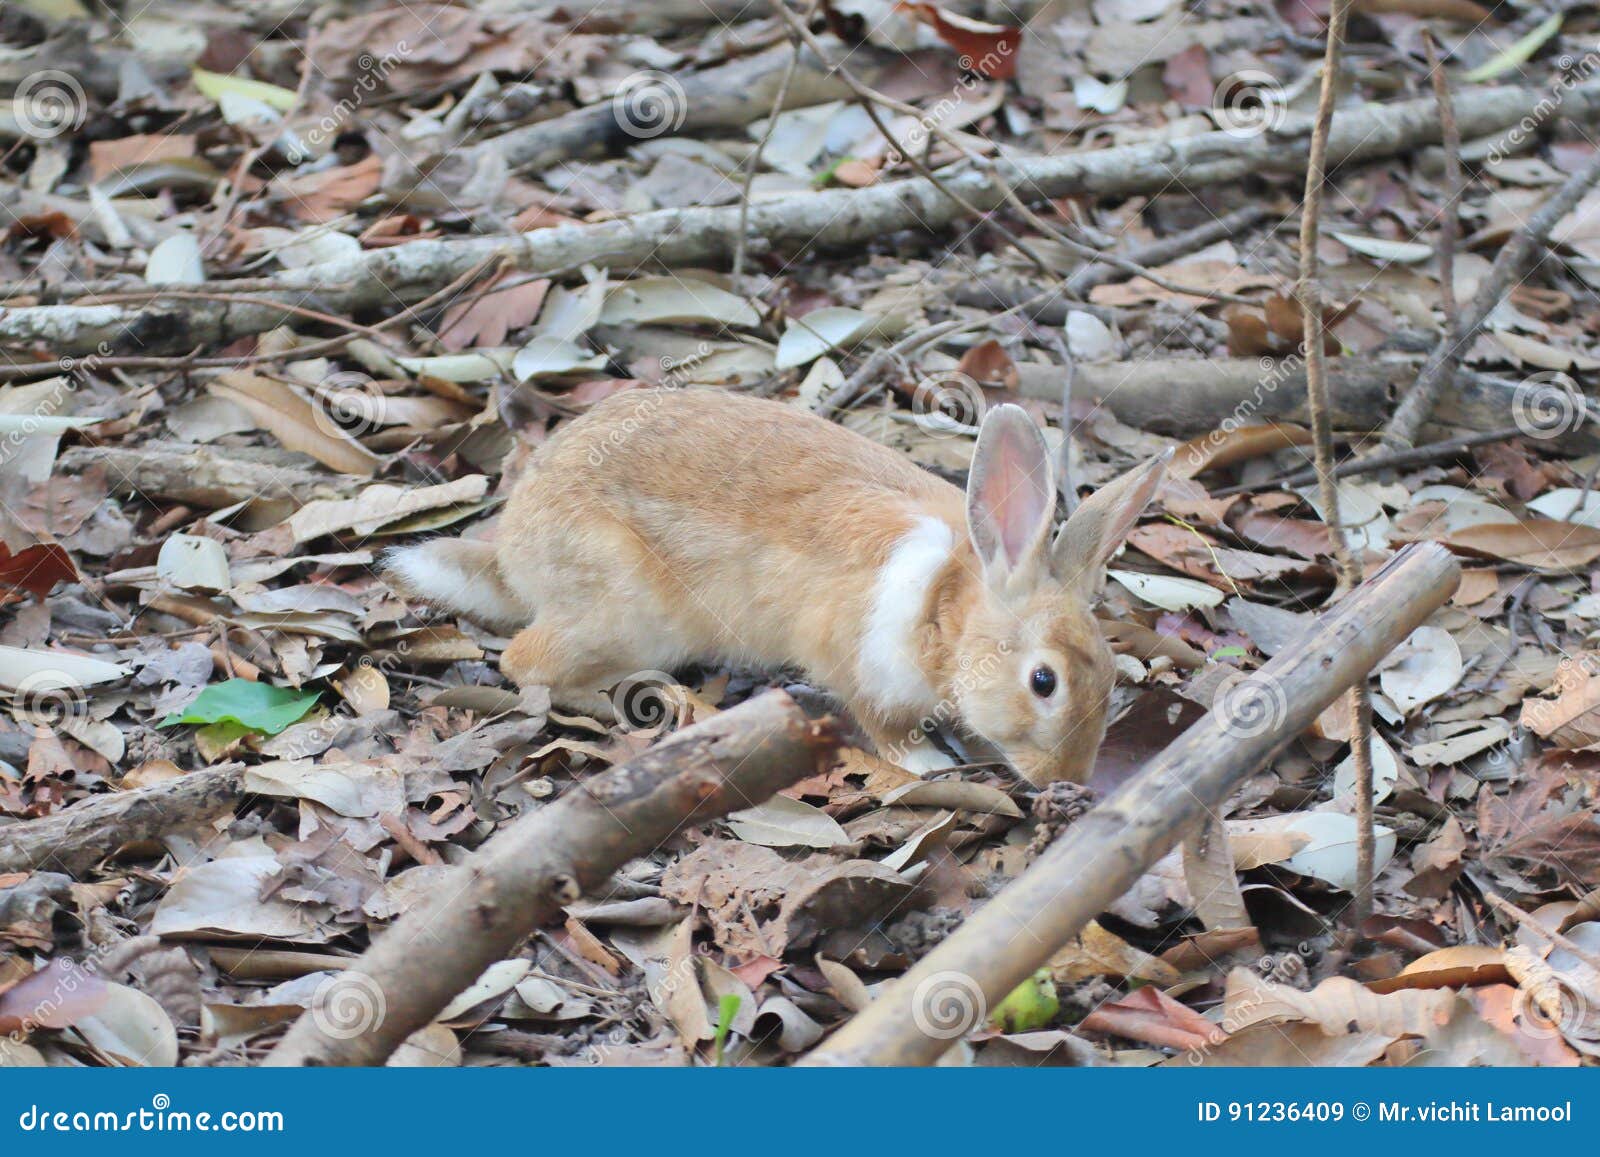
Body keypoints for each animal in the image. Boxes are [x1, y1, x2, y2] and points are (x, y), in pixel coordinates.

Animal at [384, 387, 1167, 785]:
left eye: (1112, 674)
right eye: (1043, 681)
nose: (1069, 777)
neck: (947, 608)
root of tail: (514, 554)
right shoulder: (857, 661)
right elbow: (882, 724)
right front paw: (923, 761)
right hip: (626, 612)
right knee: (527, 661)